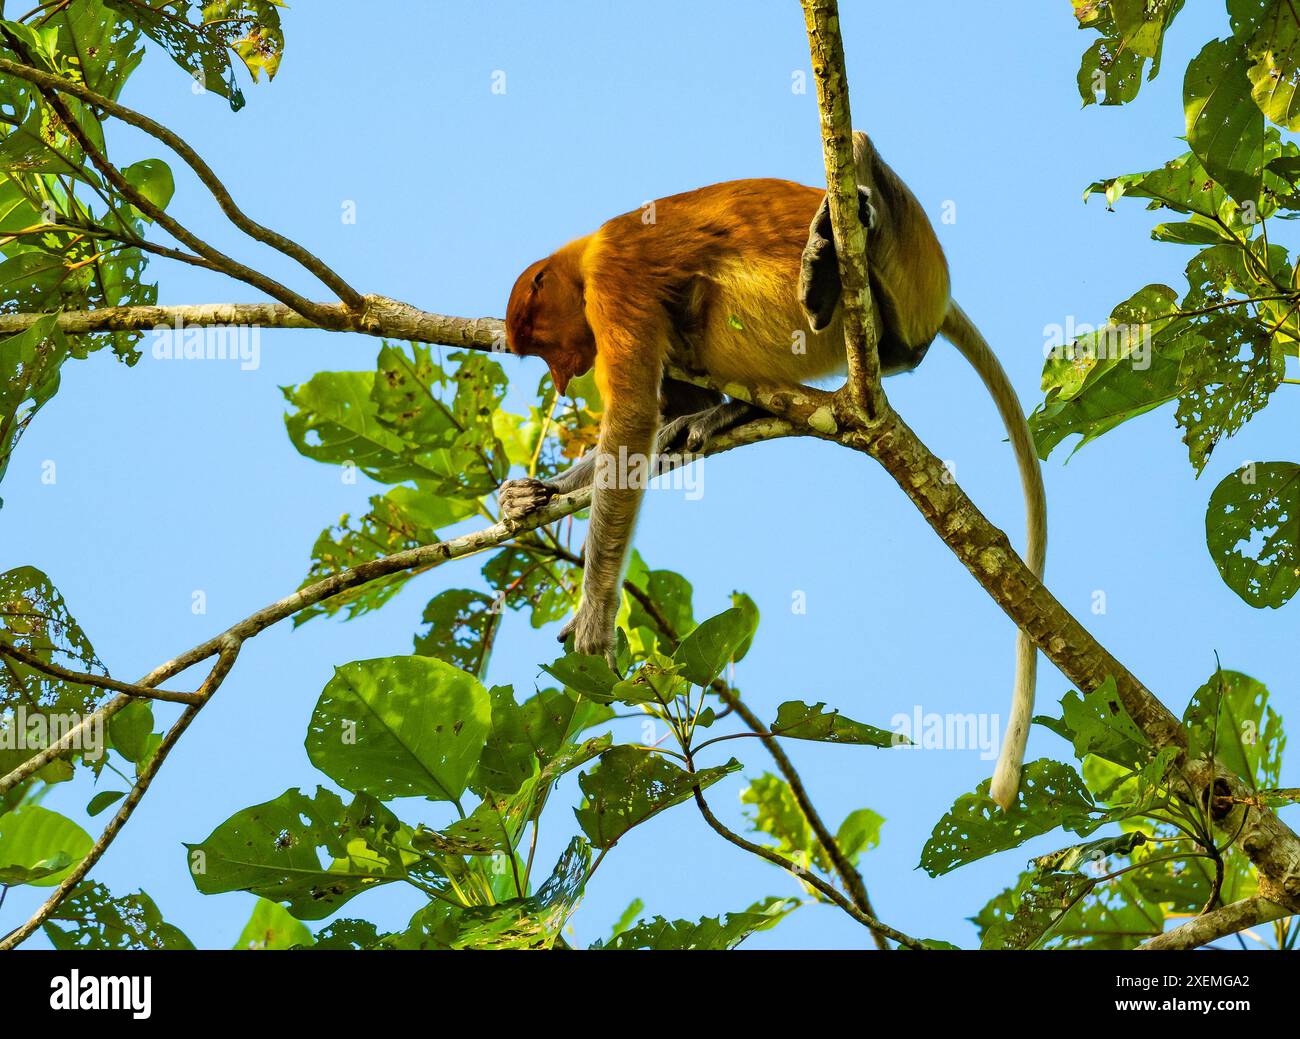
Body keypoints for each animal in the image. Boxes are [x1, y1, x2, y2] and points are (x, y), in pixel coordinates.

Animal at [499, 131, 1046, 810]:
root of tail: (940, 301)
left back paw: (839, 252)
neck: (585, 255)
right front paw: (532, 494)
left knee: (851, 163)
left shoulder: (612, 281)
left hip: (896, 272)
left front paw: (594, 617)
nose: (559, 376)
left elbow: (629, 421)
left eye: (543, 343)